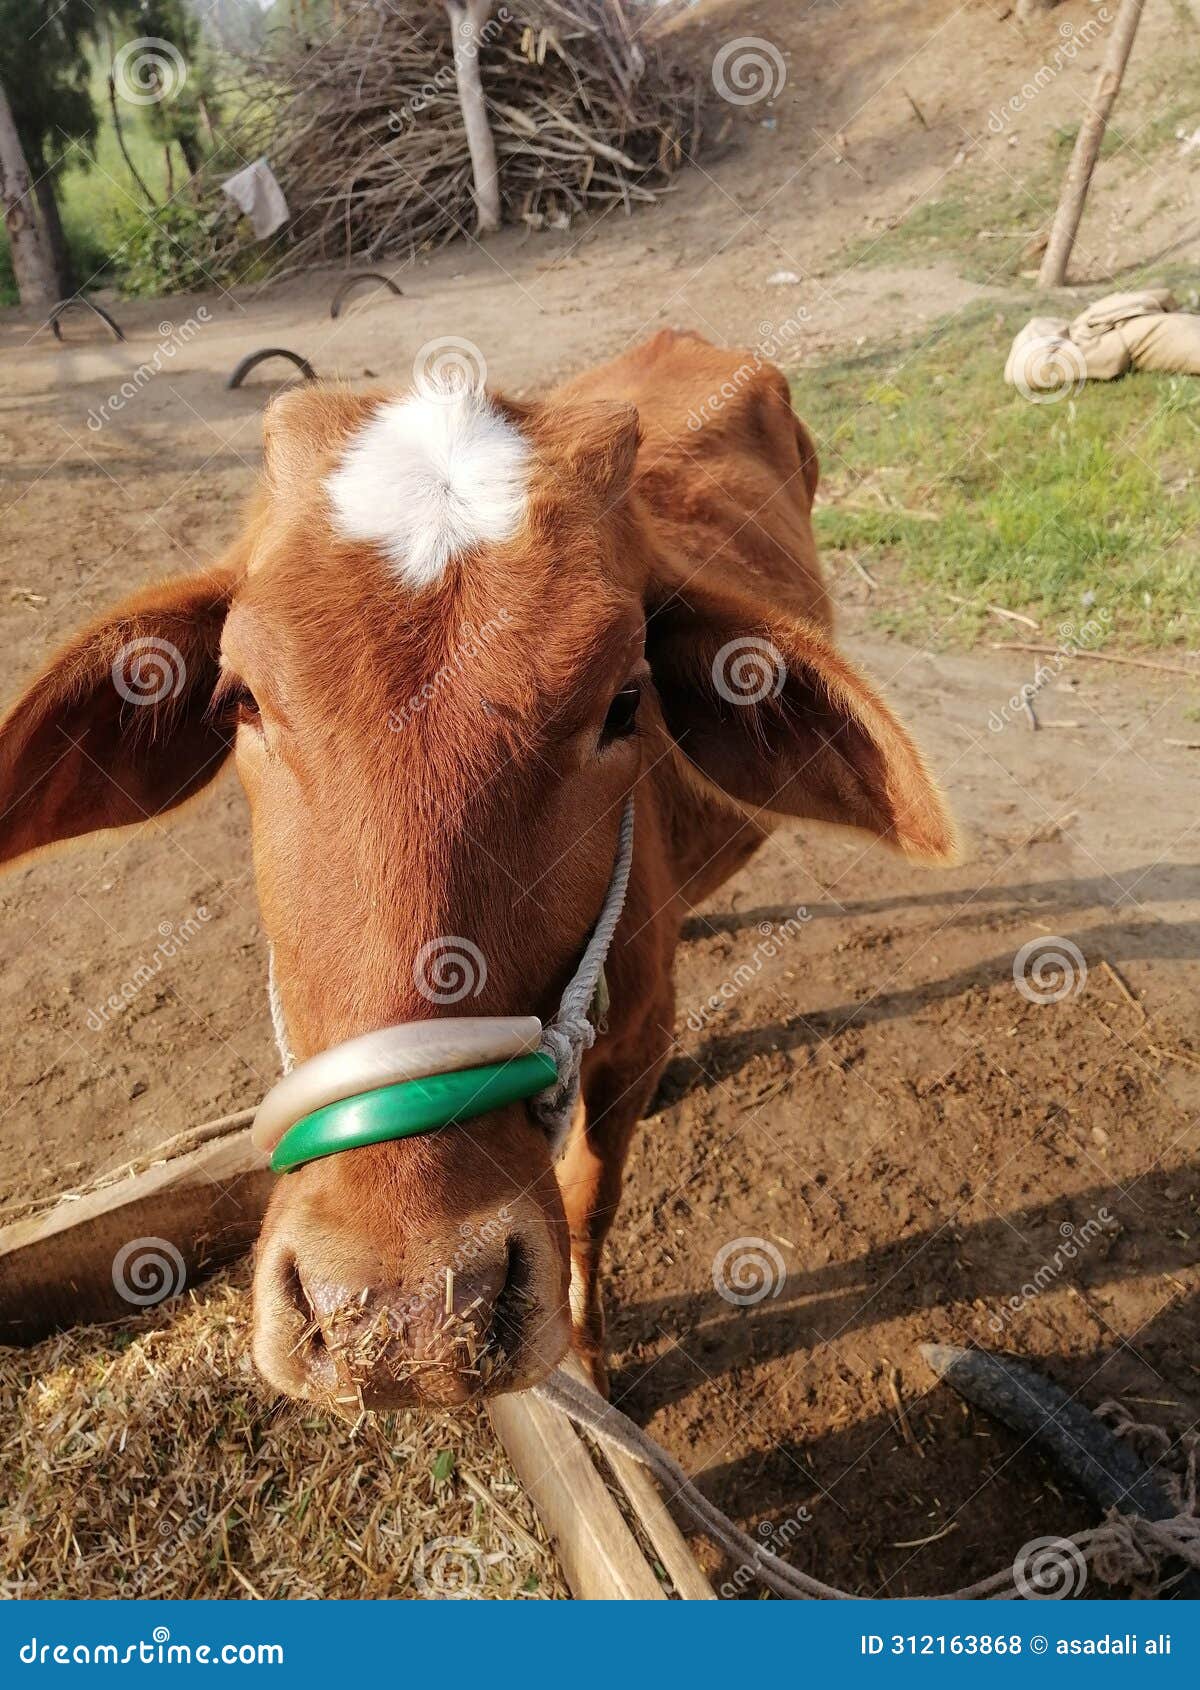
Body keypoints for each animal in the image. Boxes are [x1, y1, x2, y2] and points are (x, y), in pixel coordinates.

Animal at [0, 330, 955, 1410]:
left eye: (626, 702)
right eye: (240, 696)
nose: (403, 1316)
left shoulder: (635, 1042)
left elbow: (590, 1196)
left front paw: (591, 1353)